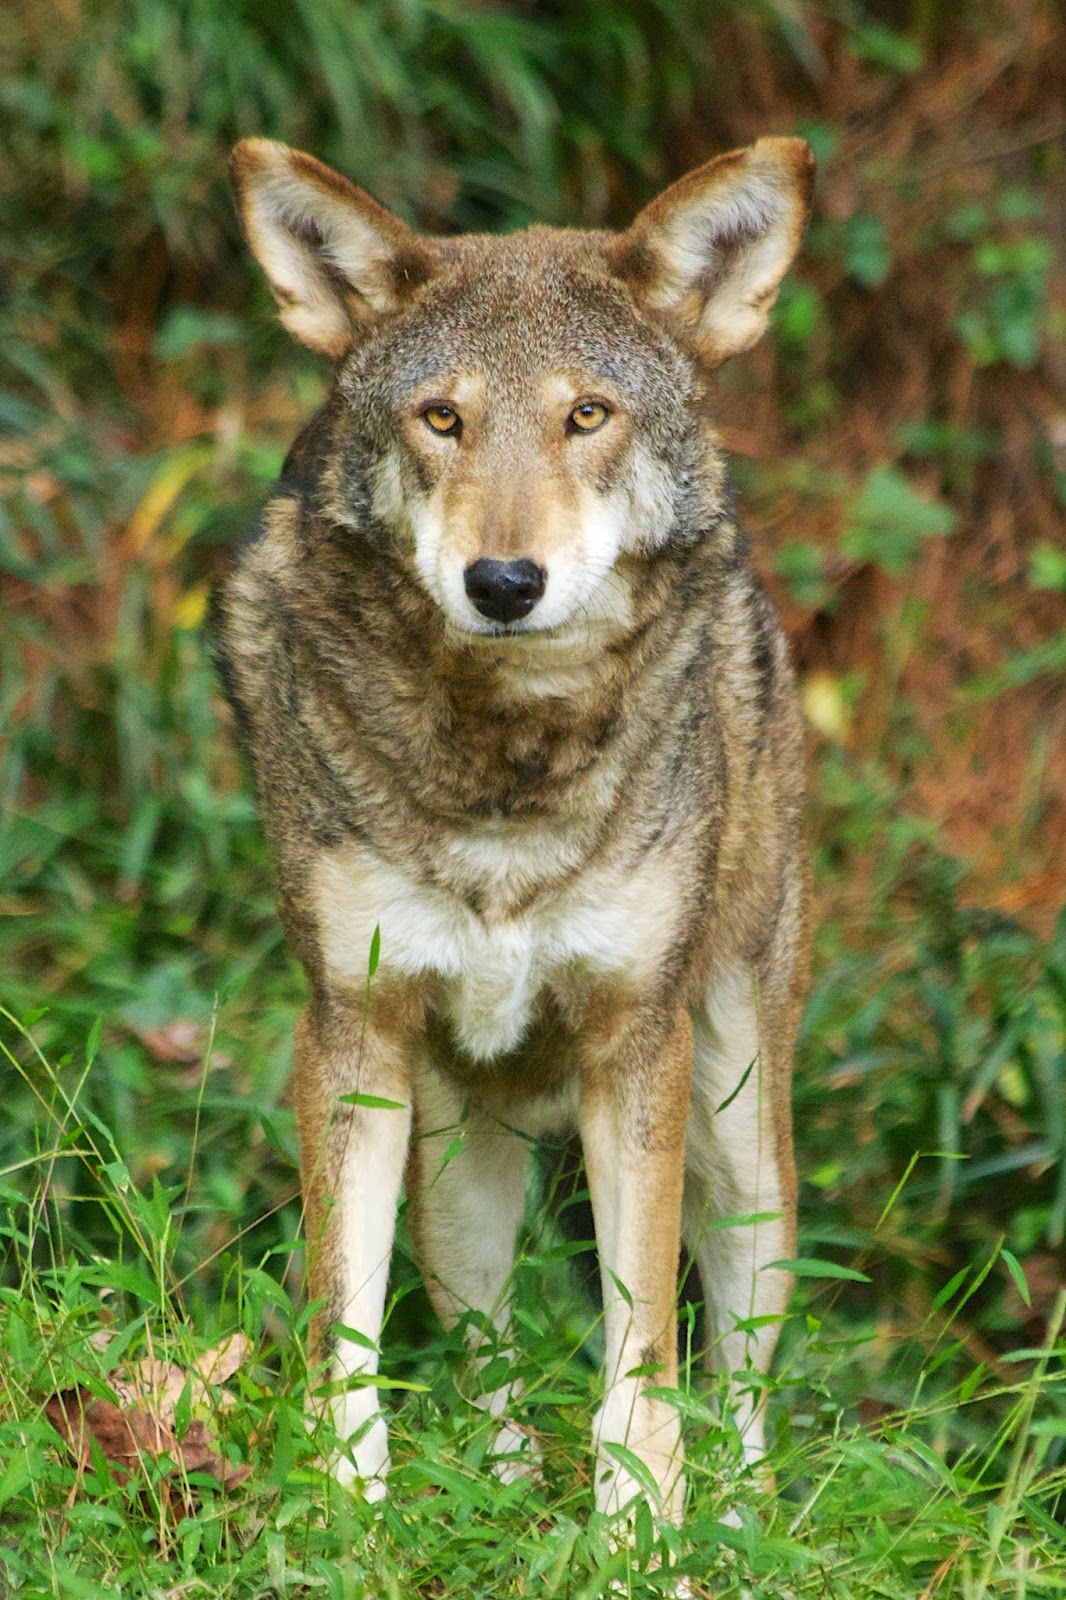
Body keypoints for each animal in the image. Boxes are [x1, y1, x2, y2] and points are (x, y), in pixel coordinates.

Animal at [213, 133, 814, 1529]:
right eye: (442, 418)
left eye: (585, 415)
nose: (501, 584)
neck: (509, 770)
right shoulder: (350, 1031)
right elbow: (344, 1330)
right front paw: (345, 1518)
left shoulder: (636, 1047)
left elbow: (640, 1363)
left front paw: (644, 1539)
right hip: (454, 1161)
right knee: (483, 1347)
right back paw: (493, 1499)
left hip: (739, 1124)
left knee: (746, 1367)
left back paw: (745, 1527)